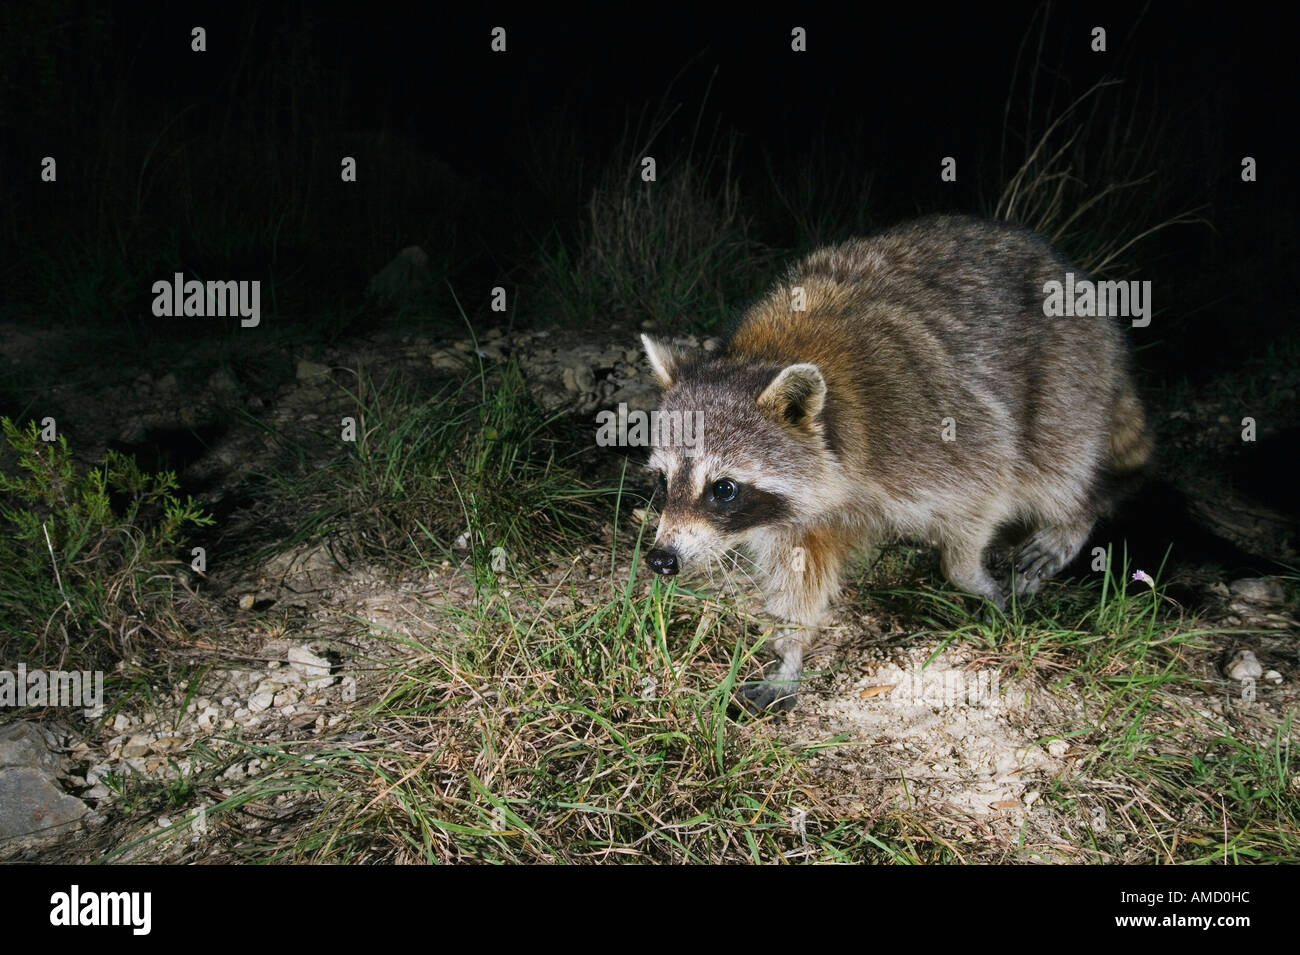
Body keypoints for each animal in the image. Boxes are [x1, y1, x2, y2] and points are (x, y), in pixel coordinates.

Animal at [641, 214, 1152, 712]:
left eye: (723, 489)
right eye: (664, 481)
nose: (661, 559)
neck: (772, 351)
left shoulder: (933, 430)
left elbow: (988, 484)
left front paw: (967, 572)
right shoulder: (798, 513)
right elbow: (800, 575)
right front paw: (788, 651)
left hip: (1069, 369)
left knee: (1057, 456)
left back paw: (1072, 517)